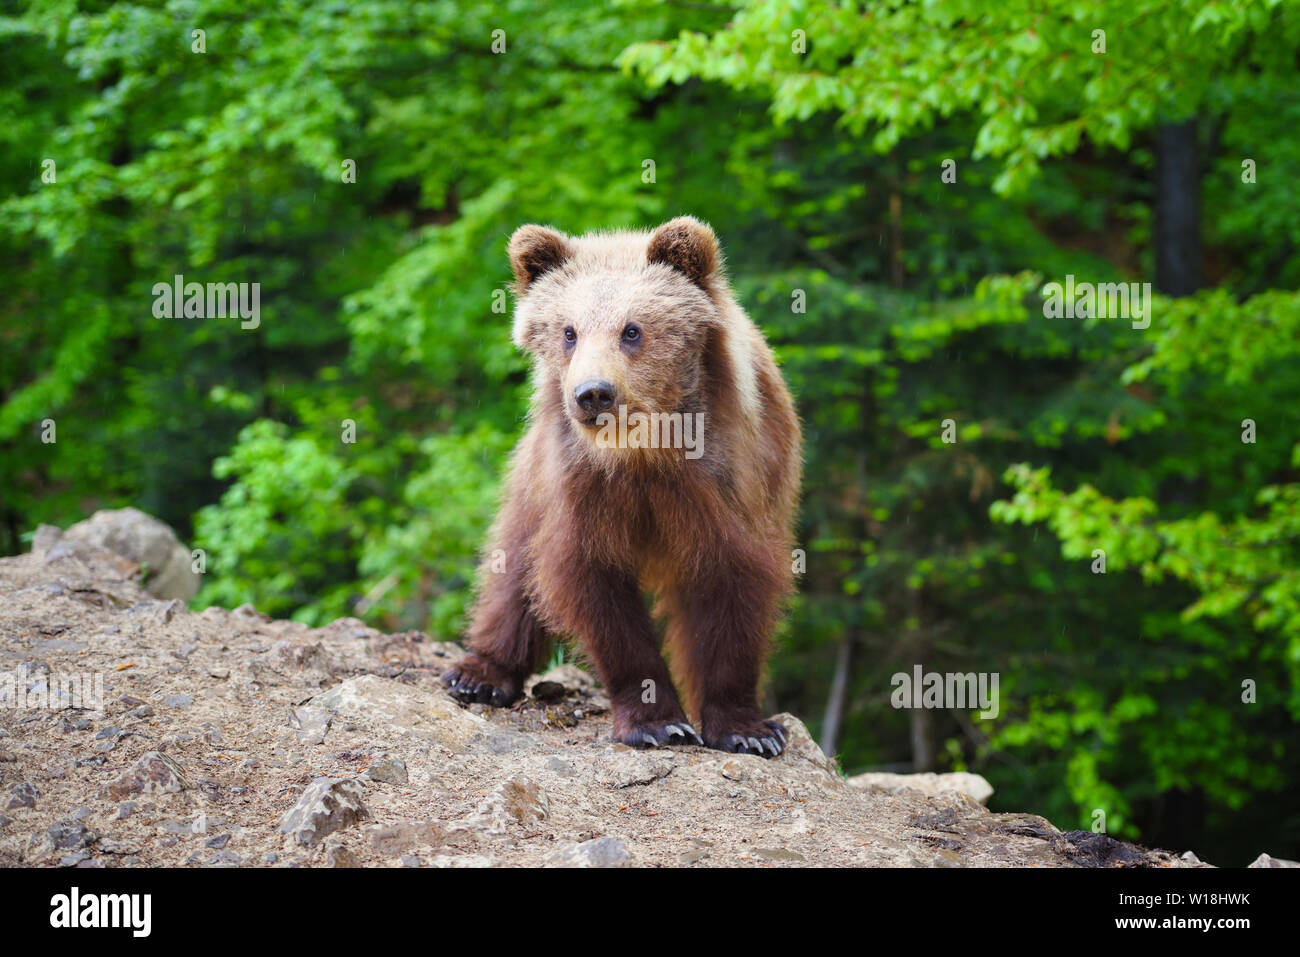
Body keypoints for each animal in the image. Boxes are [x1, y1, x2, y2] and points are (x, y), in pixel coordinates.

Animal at [442, 216, 802, 757]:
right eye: (569, 332)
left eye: (632, 330)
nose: (593, 394)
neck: (644, 450)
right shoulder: (584, 485)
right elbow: (593, 583)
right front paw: (657, 722)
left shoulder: (729, 476)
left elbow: (733, 583)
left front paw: (748, 730)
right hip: (534, 475)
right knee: (514, 564)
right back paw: (478, 674)